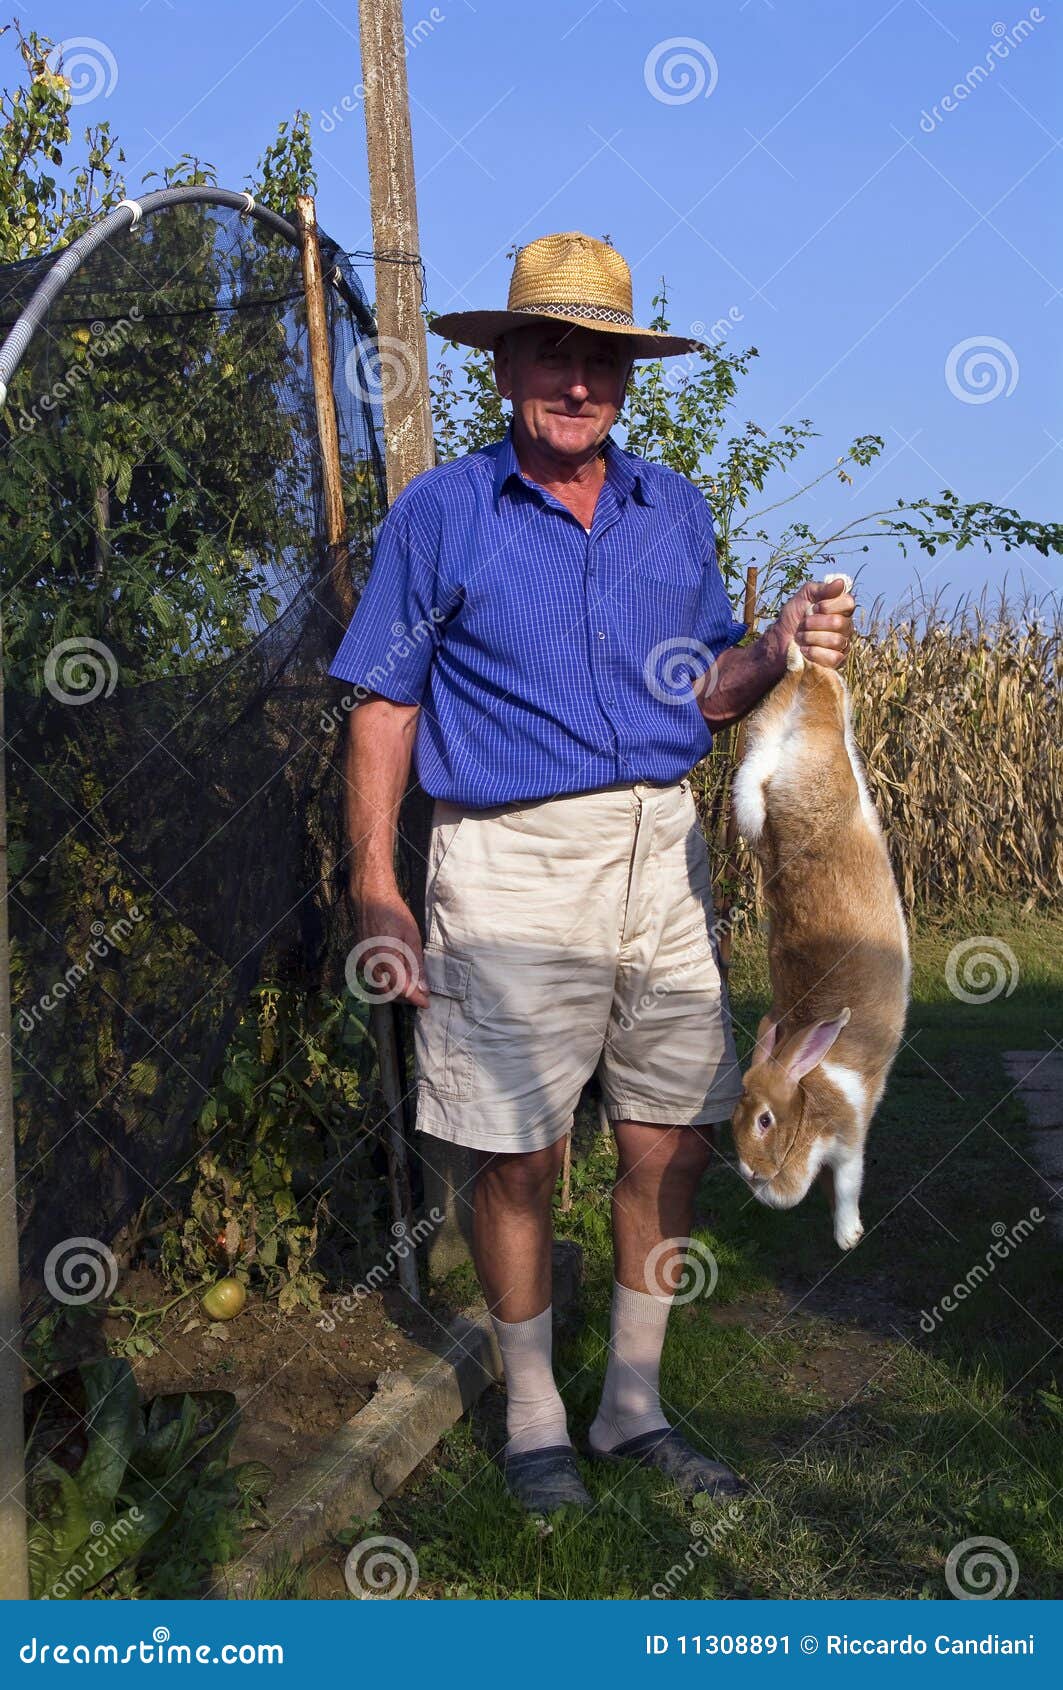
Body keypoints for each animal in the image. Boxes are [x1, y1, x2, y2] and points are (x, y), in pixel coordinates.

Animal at [728, 588, 911, 1250]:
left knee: (810, 687)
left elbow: (849, 1185)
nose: (749, 1173)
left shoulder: (851, 1143)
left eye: (764, 1118)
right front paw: (849, 1235)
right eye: (735, 1112)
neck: (809, 1084)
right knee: (818, 687)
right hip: (801, 732)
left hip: (778, 739)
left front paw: (847, 1236)